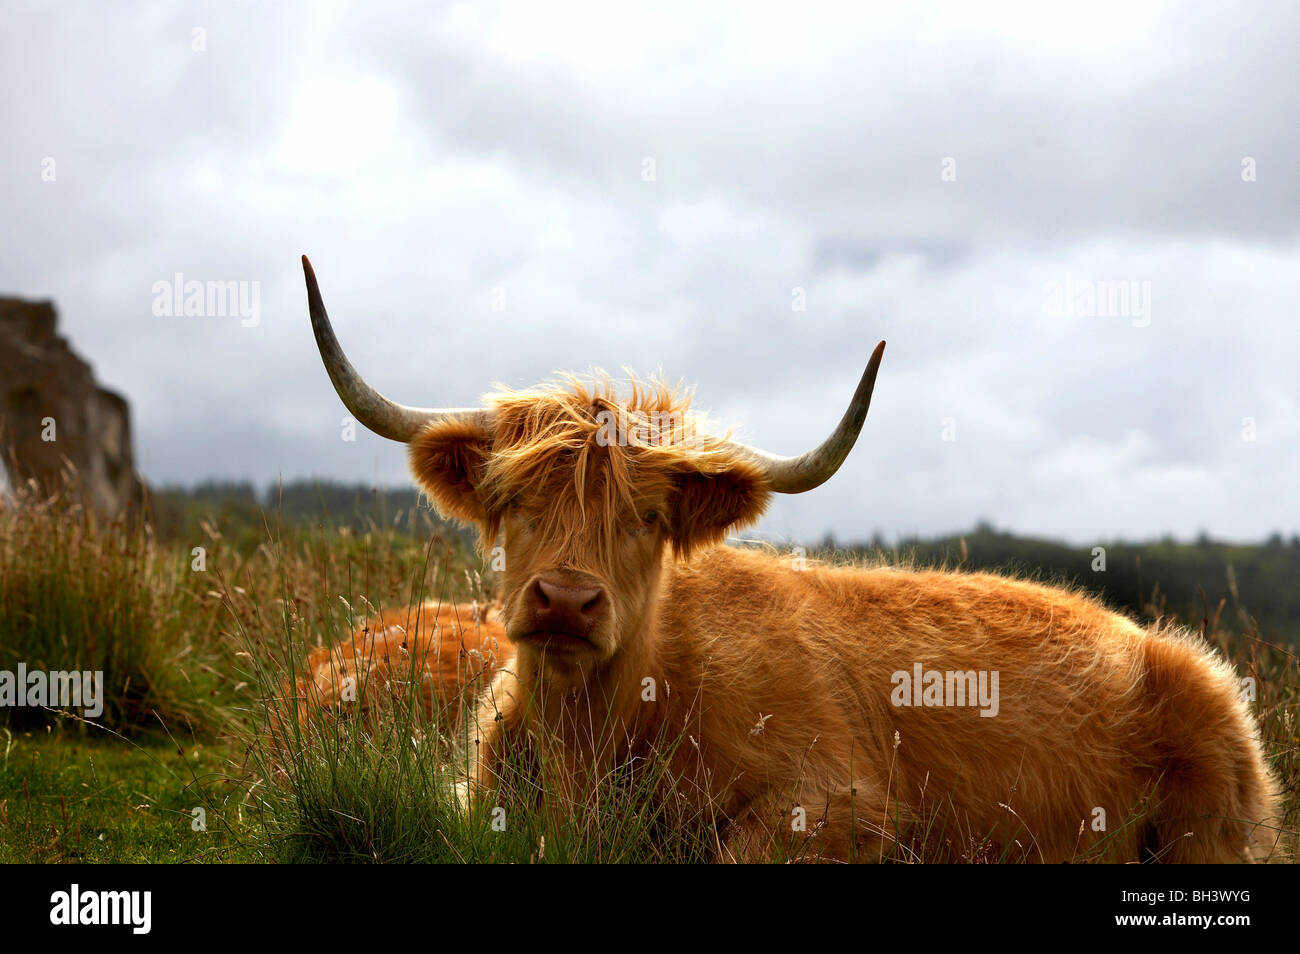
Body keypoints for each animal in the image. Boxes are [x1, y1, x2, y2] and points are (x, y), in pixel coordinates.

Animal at [301, 255, 1282, 863]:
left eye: (647, 517)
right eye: (512, 499)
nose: (567, 601)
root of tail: (1146, 637)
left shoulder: (837, 803)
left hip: (1214, 817)